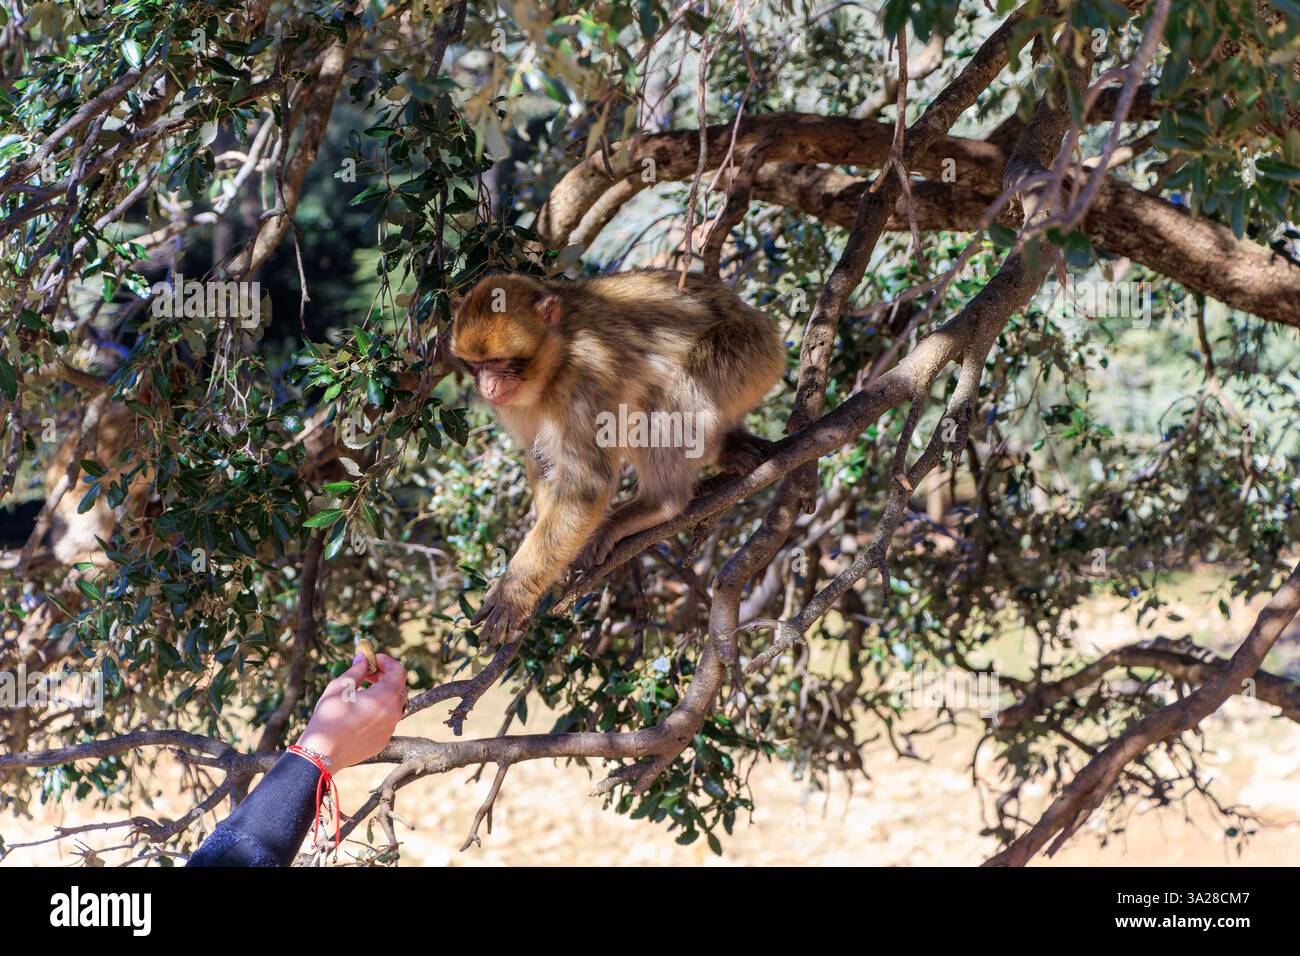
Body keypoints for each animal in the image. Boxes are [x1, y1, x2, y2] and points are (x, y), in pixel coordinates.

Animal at [450, 268, 786, 643]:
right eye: (476, 365)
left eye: (498, 362)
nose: (488, 388)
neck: (556, 362)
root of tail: (758, 318)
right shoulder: (519, 407)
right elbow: (542, 461)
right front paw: (556, 567)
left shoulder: (586, 377)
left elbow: (588, 483)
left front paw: (514, 592)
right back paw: (731, 446)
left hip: (749, 352)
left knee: (668, 396)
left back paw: (659, 502)